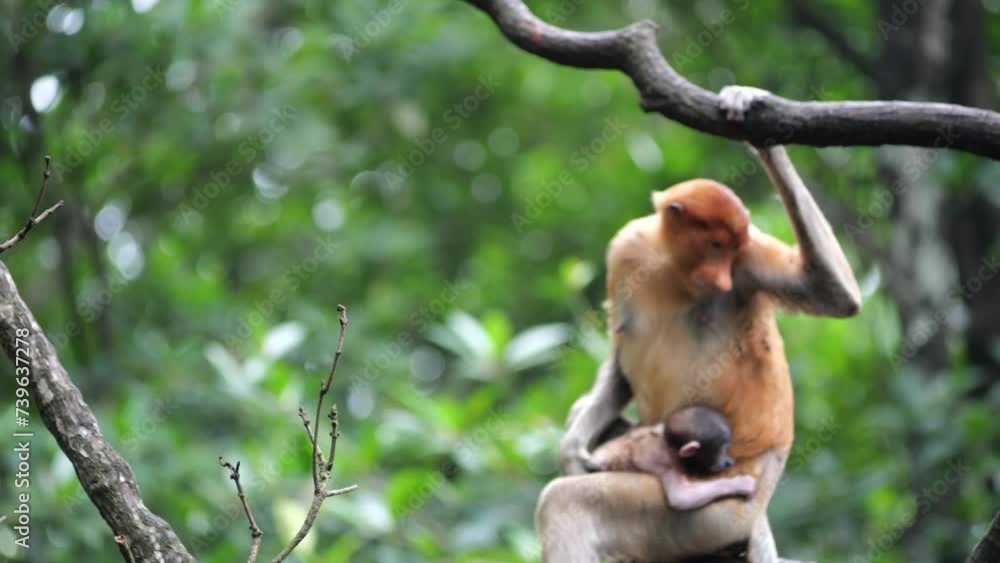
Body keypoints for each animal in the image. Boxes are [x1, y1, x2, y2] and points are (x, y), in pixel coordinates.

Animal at [585, 406, 757, 512]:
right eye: (723, 450)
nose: (728, 460)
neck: (670, 446)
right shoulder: (665, 463)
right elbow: (681, 497)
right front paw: (742, 484)